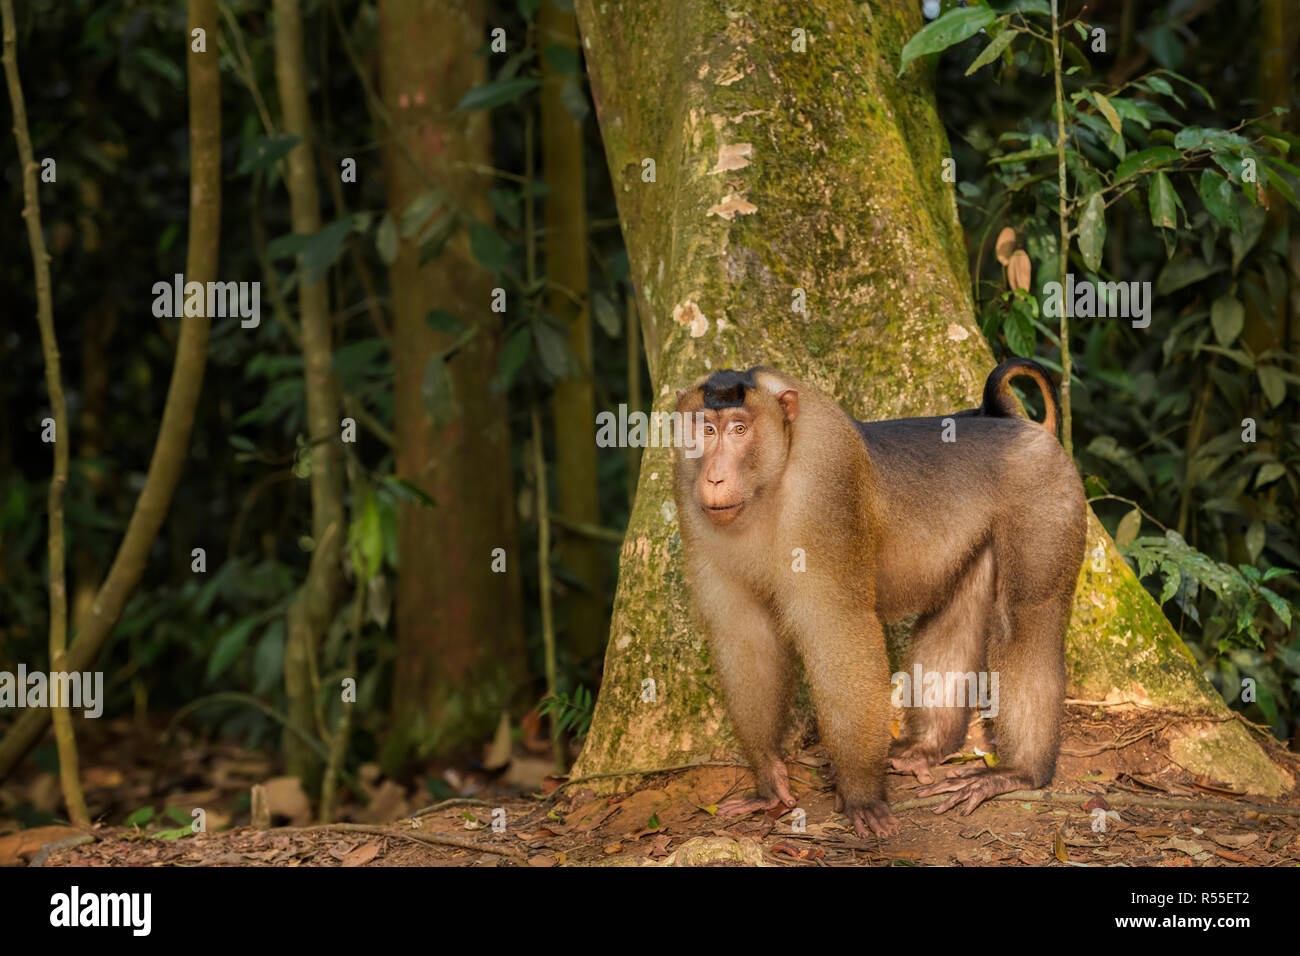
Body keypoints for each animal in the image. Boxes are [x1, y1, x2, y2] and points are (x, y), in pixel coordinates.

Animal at [672, 358, 1086, 838]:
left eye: (739, 429)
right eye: (705, 429)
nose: (714, 477)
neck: (768, 485)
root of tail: (1010, 421)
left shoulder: (825, 483)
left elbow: (839, 630)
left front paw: (862, 794)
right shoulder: (690, 504)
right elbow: (745, 636)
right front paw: (767, 777)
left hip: (1046, 496)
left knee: (1026, 620)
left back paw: (1020, 772)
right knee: (954, 616)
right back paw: (927, 746)